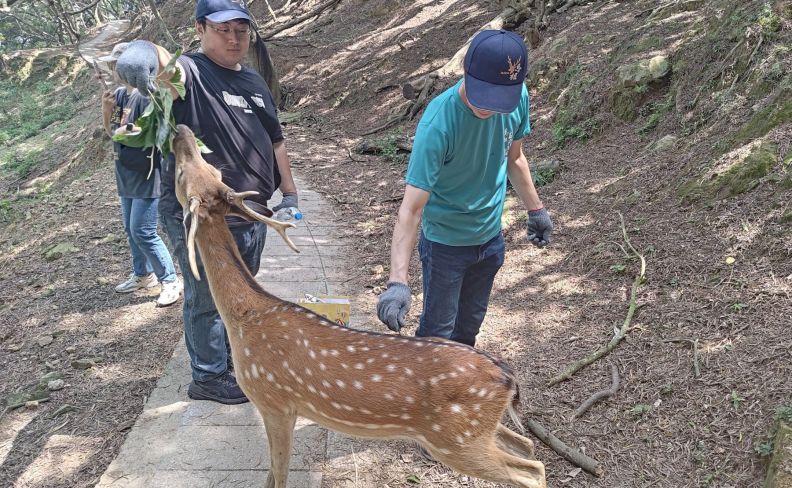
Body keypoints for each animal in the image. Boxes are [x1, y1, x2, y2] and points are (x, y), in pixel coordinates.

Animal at [171, 124, 547, 488]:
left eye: (180, 174)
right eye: (214, 169)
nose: (181, 130)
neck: (245, 317)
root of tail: (508, 377)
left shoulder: (274, 402)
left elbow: (279, 475)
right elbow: (270, 475)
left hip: (455, 439)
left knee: (532, 470)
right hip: (477, 432)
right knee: (528, 446)